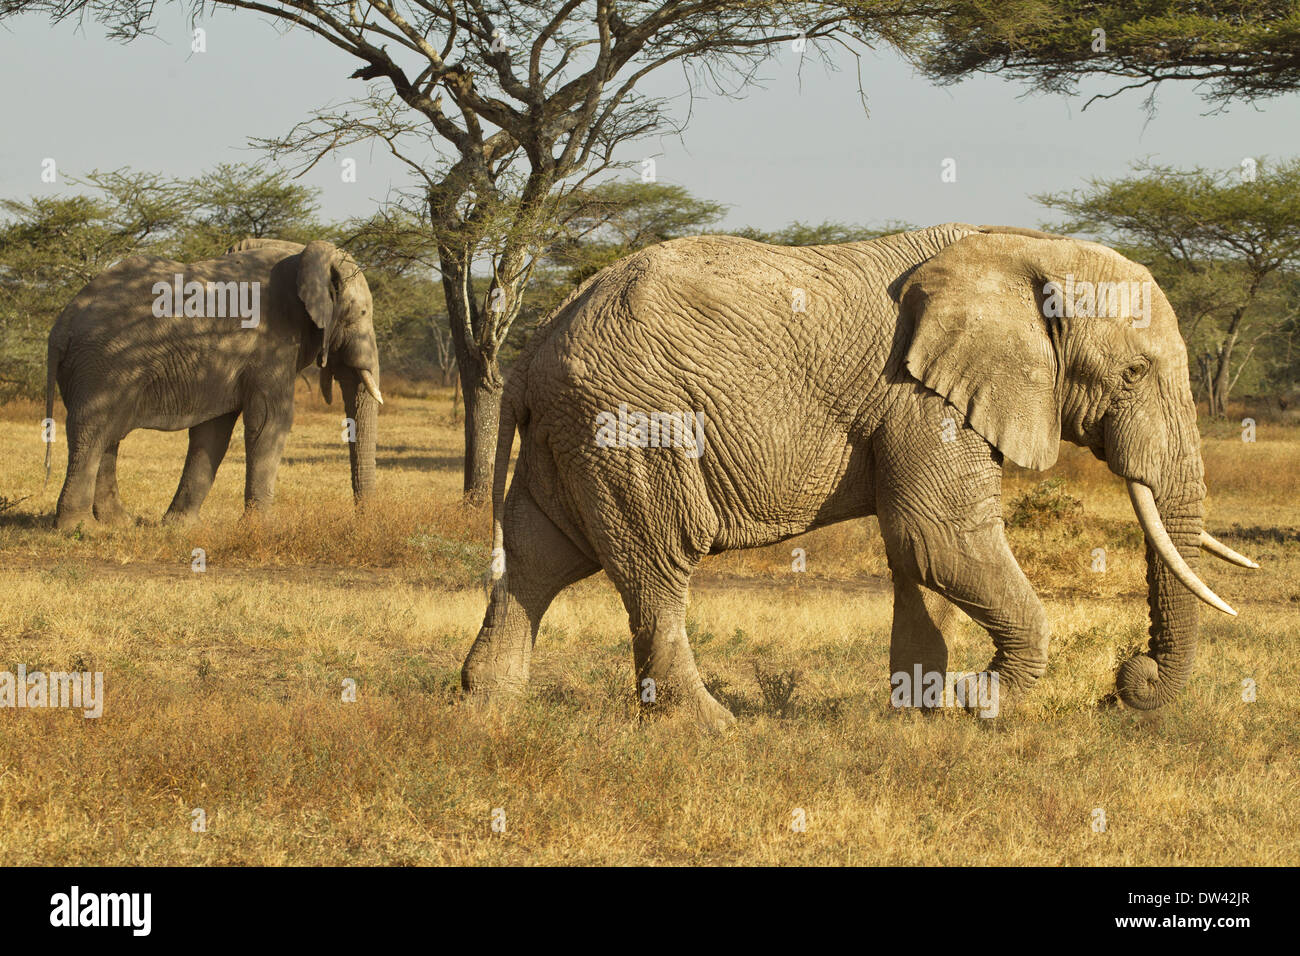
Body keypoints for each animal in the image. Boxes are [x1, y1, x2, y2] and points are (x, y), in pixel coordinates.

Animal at [44, 237, 382, 530]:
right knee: (92, 433)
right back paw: (82, 529)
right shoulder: (271, 343)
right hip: (104, 363)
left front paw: (180, 527)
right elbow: (270, 421)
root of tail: (61, 326)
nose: (360, 522)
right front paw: (262, 529)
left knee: (108, 437)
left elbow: (213, 430)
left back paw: (119, 524)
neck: (301, 254)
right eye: (363, 312)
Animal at [461, 222, 1259, 729]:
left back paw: (488, 706)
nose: (1128, 682)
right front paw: (980, 703)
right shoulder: (921, 396)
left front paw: (924, 715)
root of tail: (529, 355)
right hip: (631, 425)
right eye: (1132, 375)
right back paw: (712, 728)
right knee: (655, 568)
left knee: (538, 558)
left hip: (571, 436)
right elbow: (941, 539)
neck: (1025, 249)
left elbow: (922, 558)